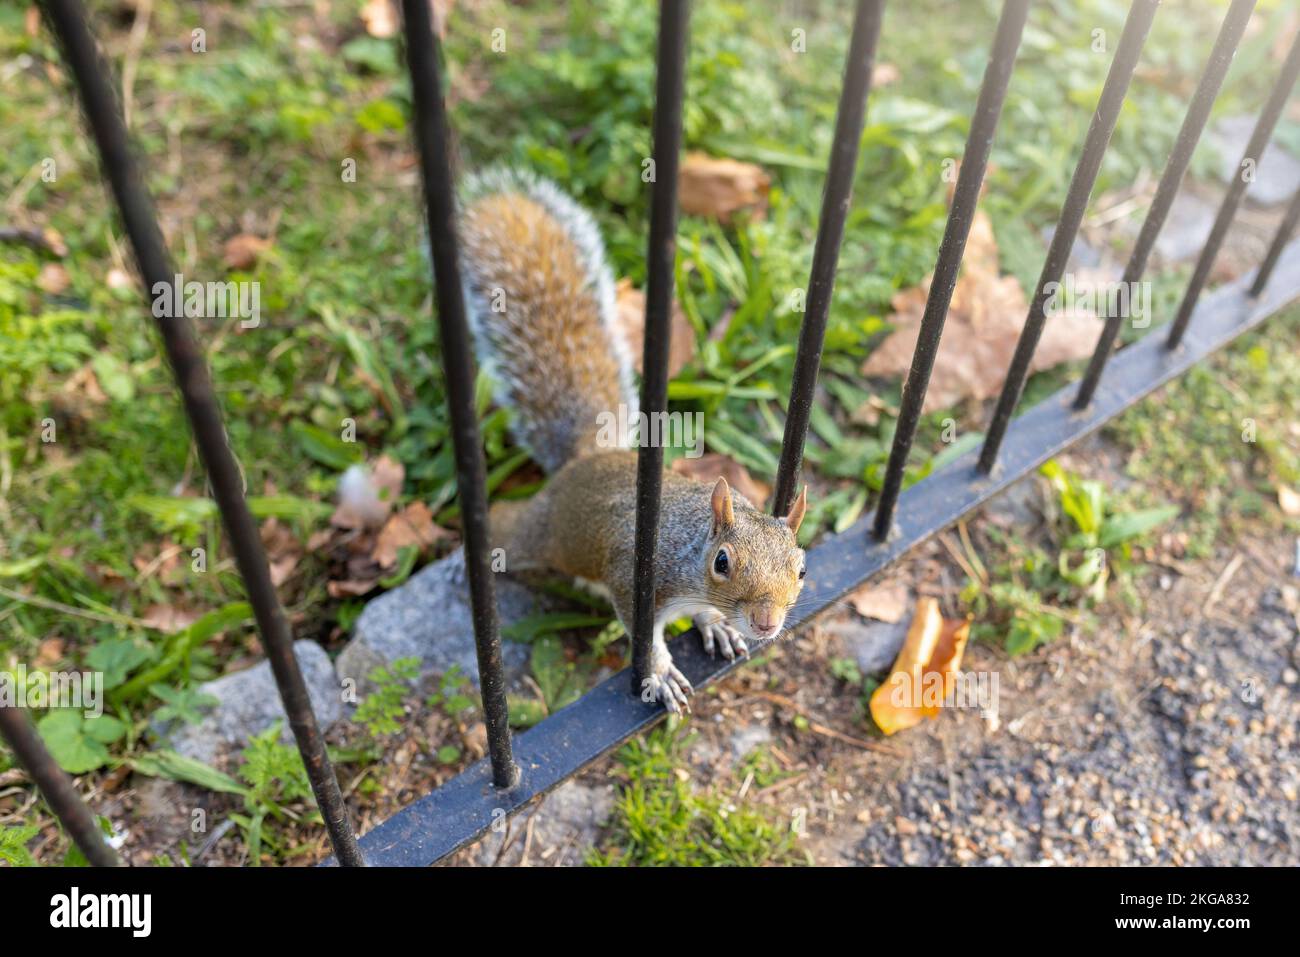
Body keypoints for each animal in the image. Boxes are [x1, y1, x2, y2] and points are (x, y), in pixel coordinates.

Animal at [456, 168, 809, 713]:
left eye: (801, 569)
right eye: (723, 563)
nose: (766, 624)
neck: (691, 554)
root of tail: (588, 458)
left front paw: (716, 626)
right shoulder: (633, 578)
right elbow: (645, 640)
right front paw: (660, 673)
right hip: (540, 534)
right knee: (504, 526)